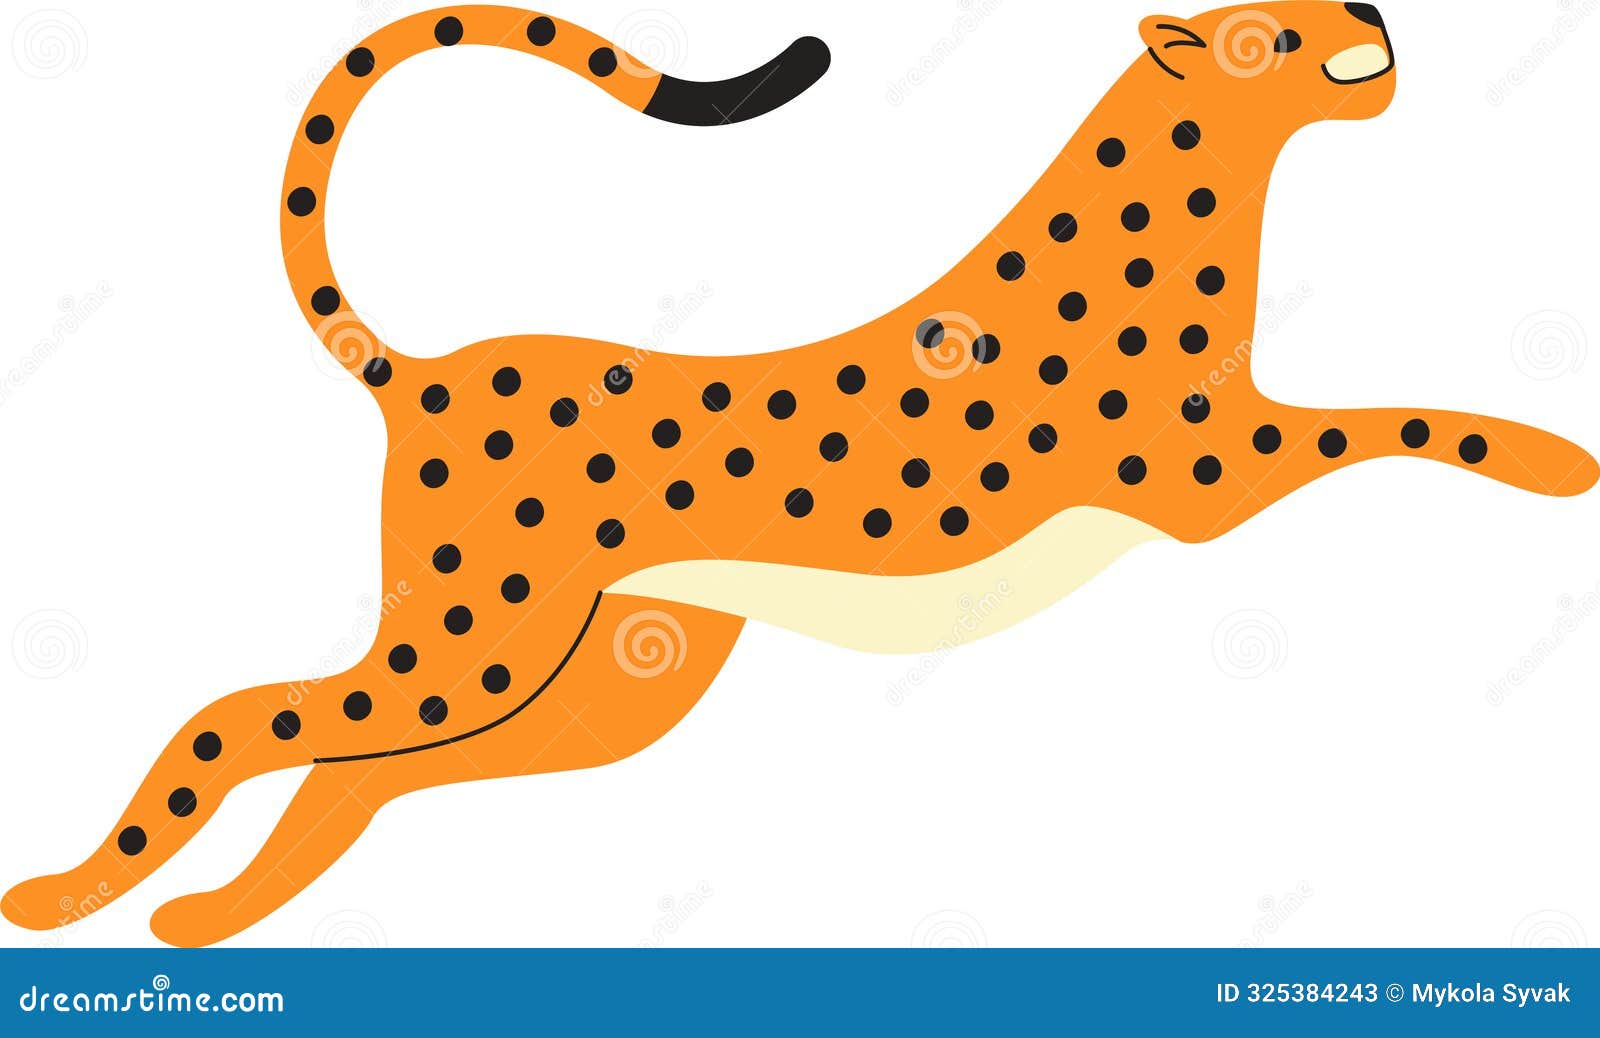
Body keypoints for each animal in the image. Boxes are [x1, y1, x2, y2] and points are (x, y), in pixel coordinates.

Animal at [6, 2, 1593, 946]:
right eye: (1262, 32)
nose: (1375, 10)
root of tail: (426, 366)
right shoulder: (1215, 484)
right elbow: (1406, 419)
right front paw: (1554, 455)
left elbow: (1395, 413)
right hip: (472, 644)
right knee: (245, 719)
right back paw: (74, 893)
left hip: (603, 679)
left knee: (355, 773)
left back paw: (208, 918)